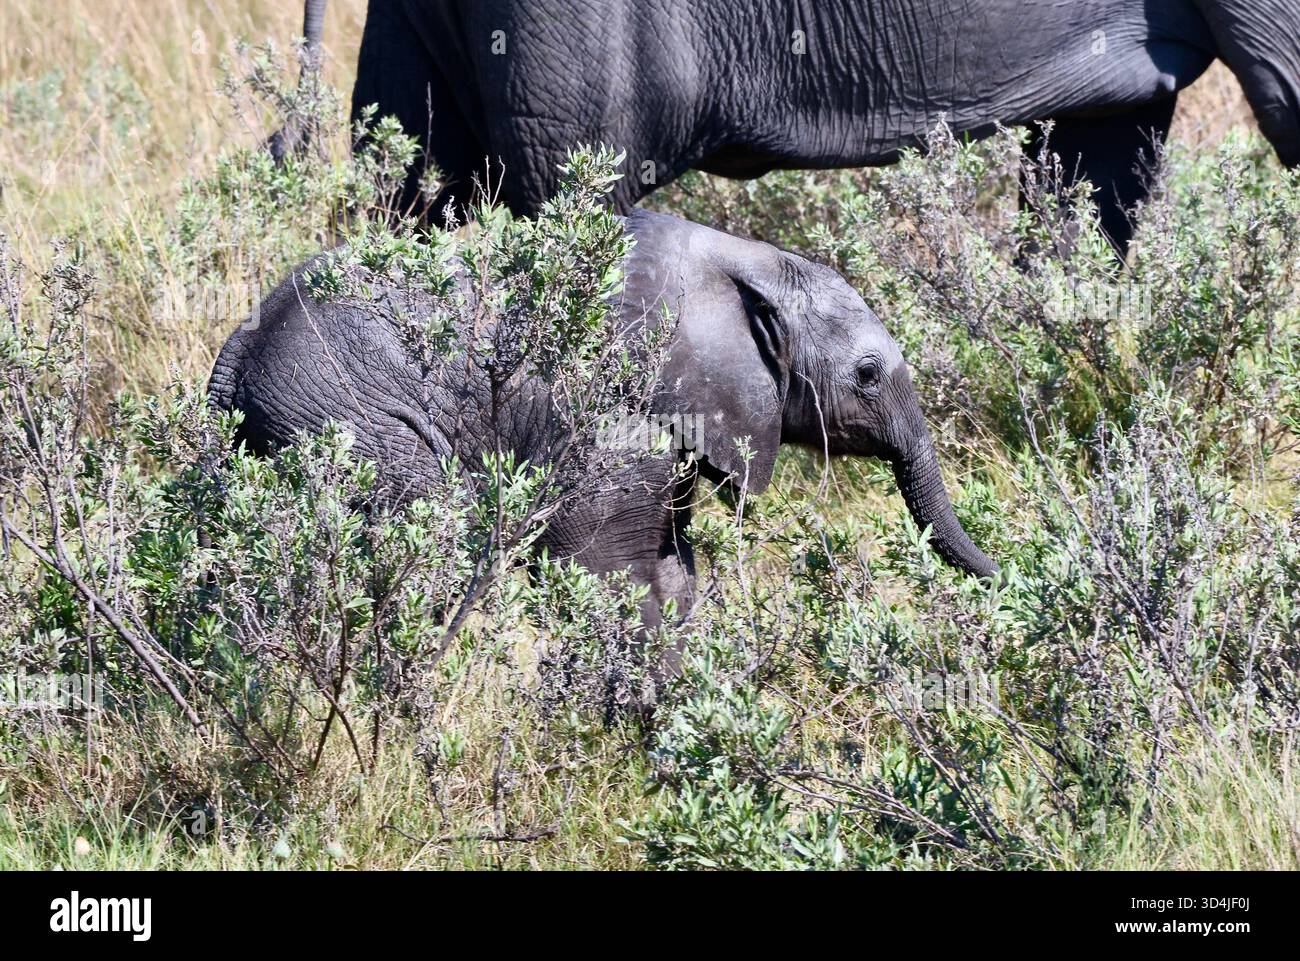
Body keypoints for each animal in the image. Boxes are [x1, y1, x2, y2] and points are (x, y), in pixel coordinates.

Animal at [208, 209, 996, 680]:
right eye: (866, 374)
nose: (1004, 576)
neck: (740, 265)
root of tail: (232, 360)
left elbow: (672, 567)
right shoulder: (619, 407)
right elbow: (601, 560)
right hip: (350, 422)